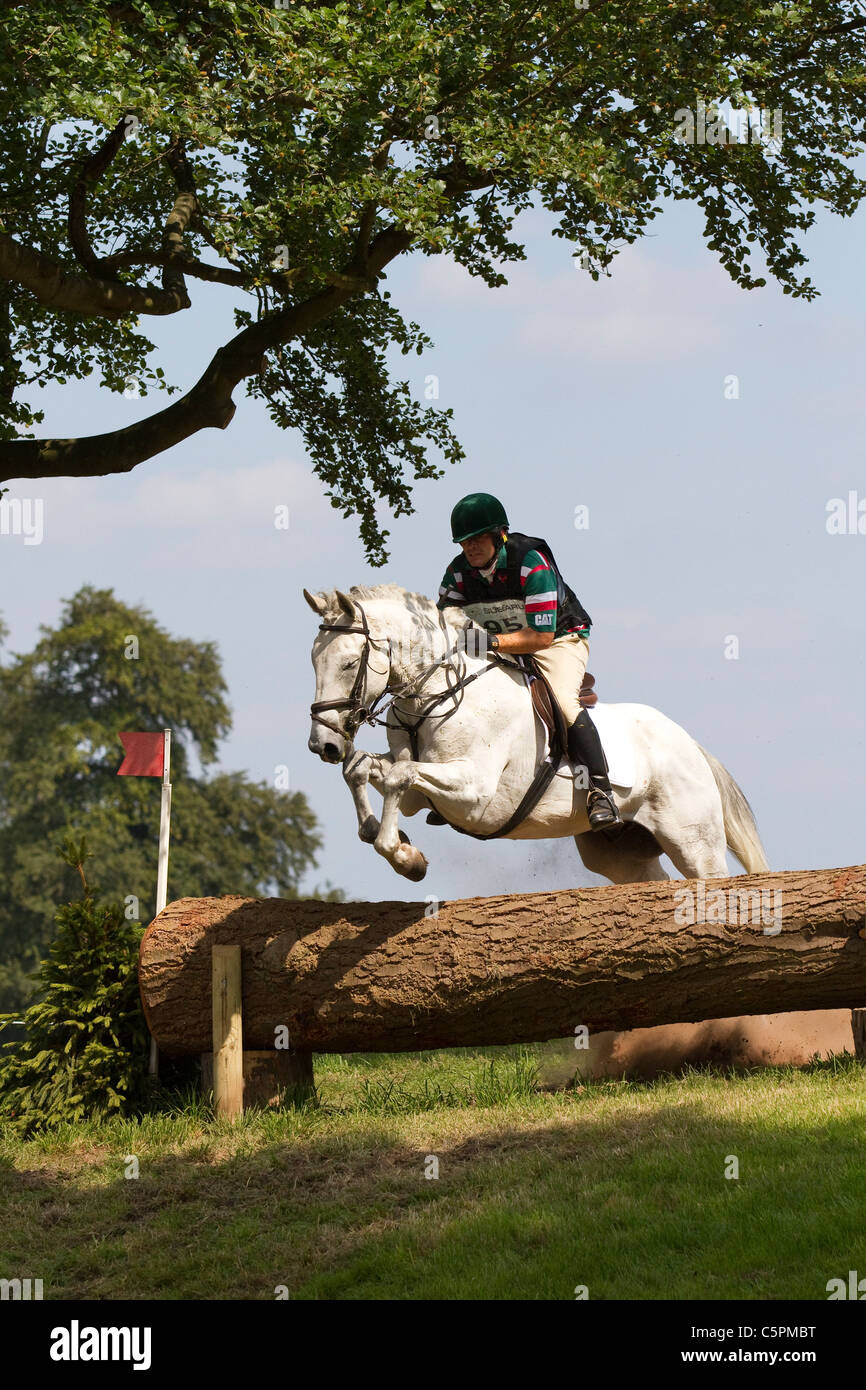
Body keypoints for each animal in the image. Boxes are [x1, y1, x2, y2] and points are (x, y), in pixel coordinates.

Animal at [305, 584, 769, 886]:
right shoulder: (428, 790)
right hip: (621, 855)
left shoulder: (474, 793)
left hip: (695, 842)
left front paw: (402, 855)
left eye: (349, 664)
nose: (322, 745)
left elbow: (397, 776)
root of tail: (690, 744)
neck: (437, 693)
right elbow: (365, 769)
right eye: (313, 662)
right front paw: (388, 838)